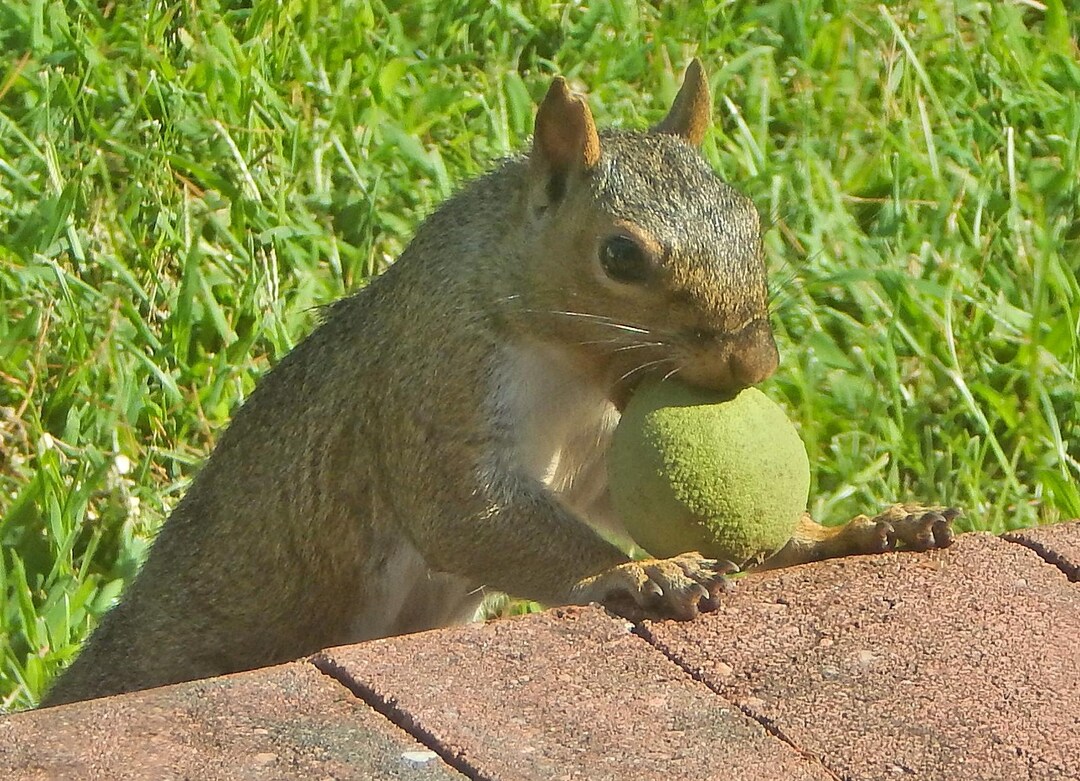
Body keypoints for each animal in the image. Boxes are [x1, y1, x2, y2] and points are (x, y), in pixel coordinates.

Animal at [42, 60, 956, 707]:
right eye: (619, 255)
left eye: (751, 219)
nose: (750, 362)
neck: (572, 365)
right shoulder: (439, 383)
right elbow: (470, 512)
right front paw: (649, 572)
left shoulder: (601, 451)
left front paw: (858, 526)